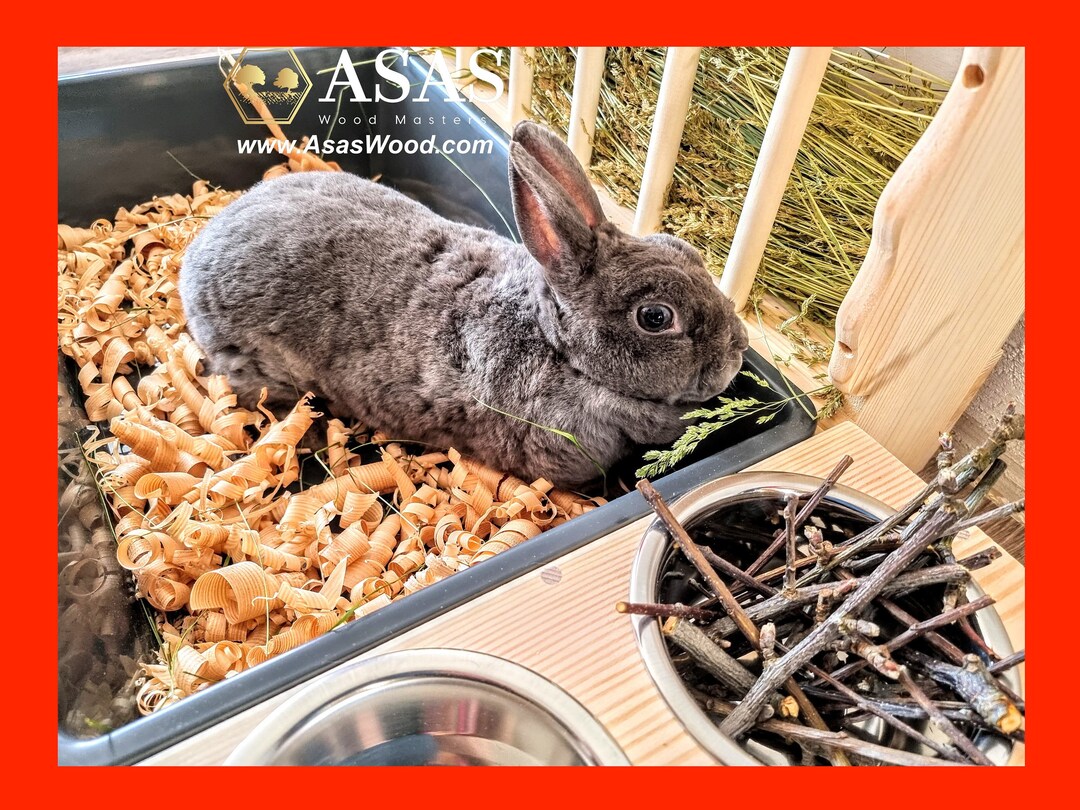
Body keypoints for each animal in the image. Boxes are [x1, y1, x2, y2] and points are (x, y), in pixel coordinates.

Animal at [178, 121, 749, 488]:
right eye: (655, 318)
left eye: (681, 246)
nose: (738, 349)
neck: (557, 347)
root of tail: (194, 259)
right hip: (266, 373)